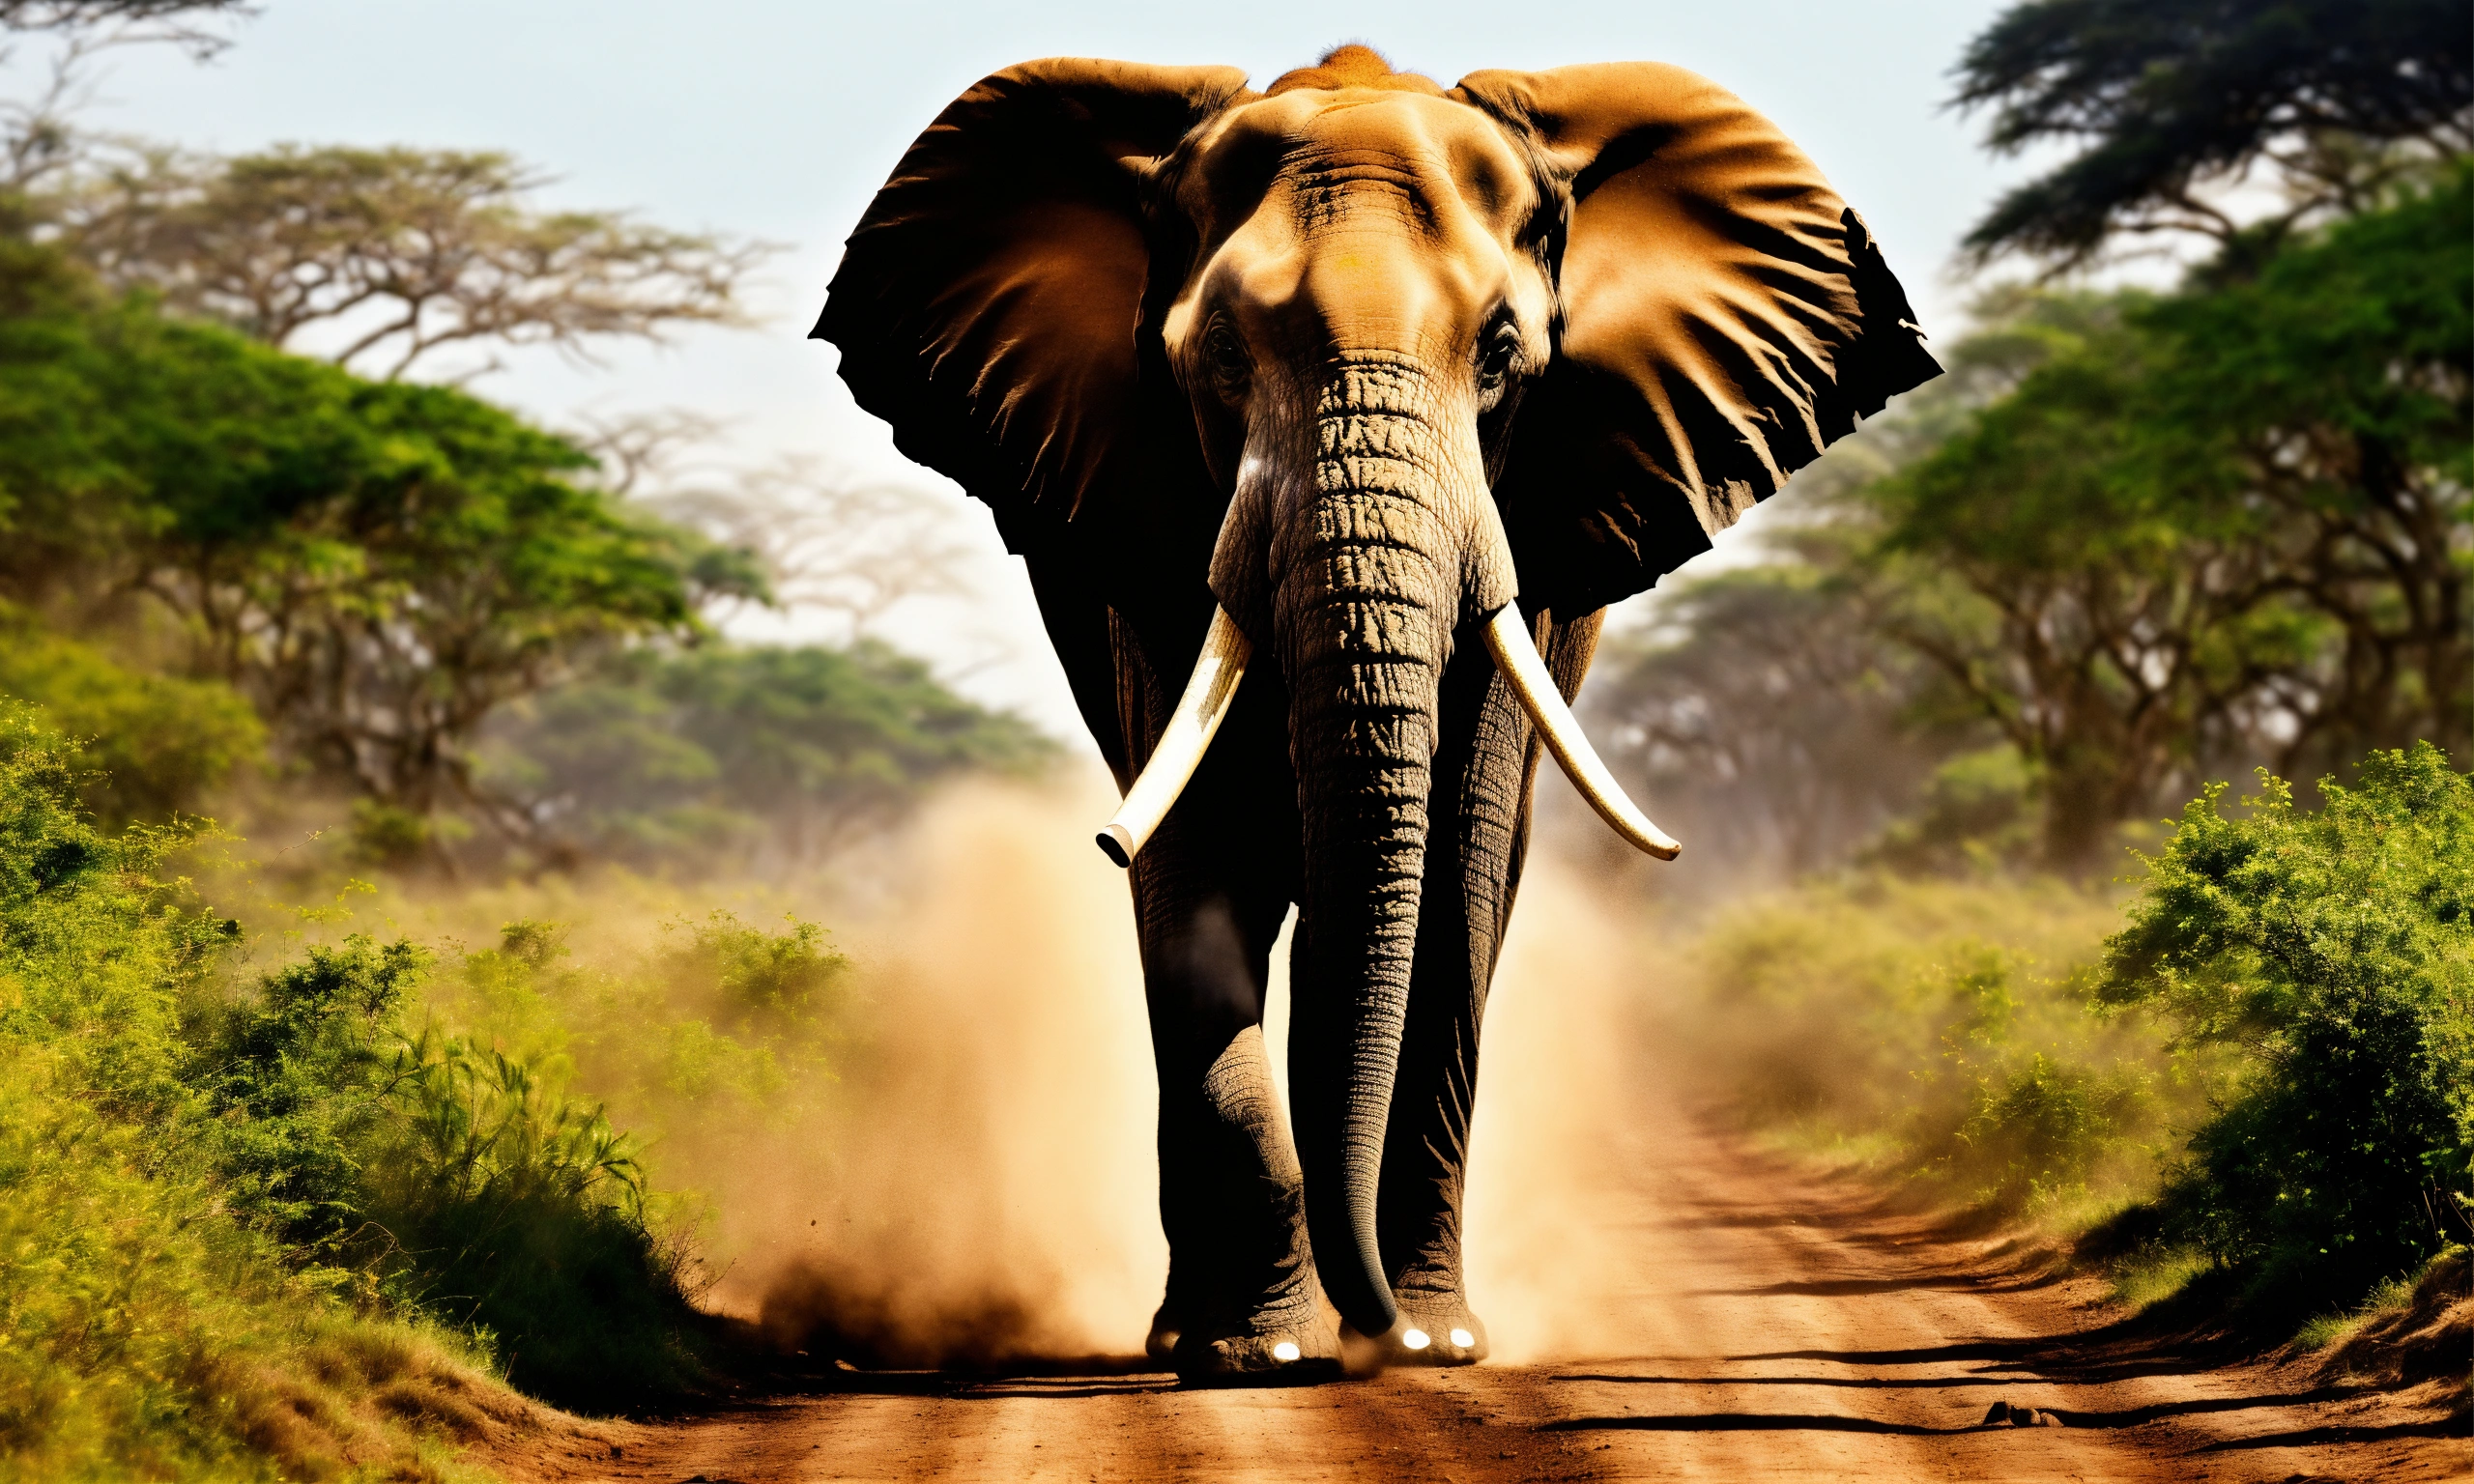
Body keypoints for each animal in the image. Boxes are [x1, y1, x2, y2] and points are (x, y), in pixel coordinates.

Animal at [814, 44, 1937, 1382]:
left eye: (1501, 354)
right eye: (1219, 359)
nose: (1378, 1327)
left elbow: (1456, 878)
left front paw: (1432, 1344)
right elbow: (1194, 878)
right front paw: (1265, 1357)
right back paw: (1190, 1330)